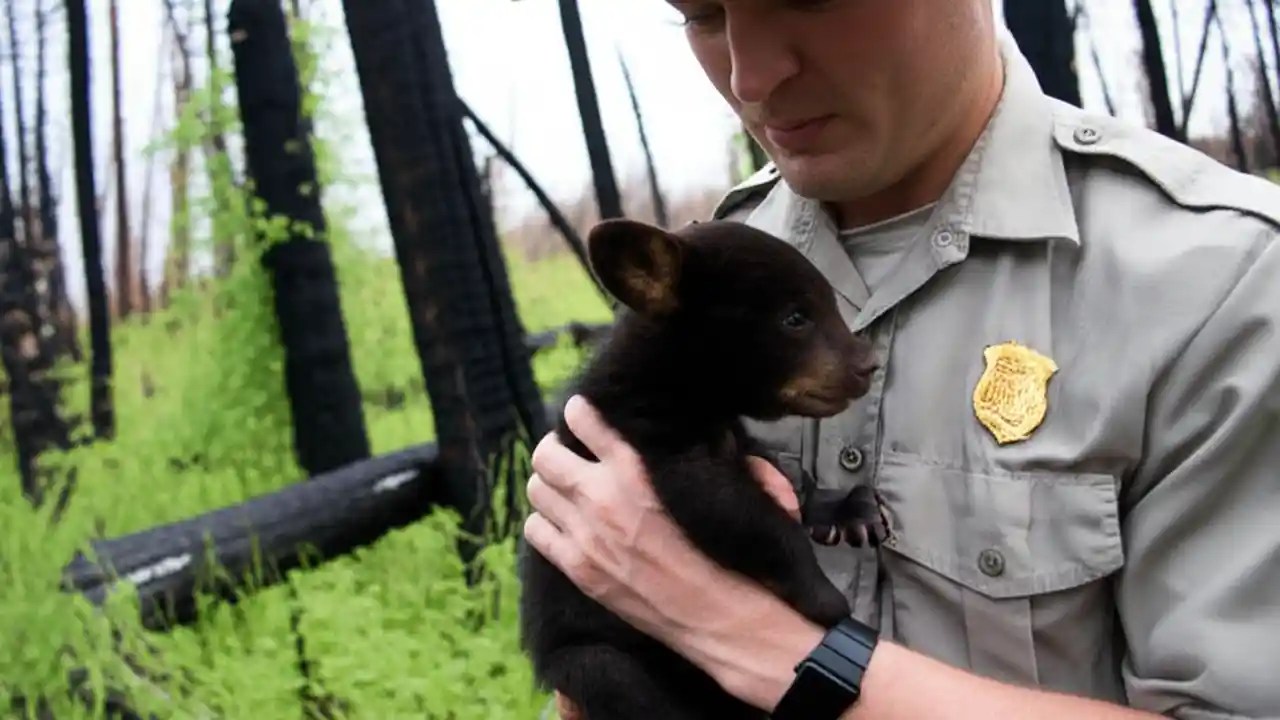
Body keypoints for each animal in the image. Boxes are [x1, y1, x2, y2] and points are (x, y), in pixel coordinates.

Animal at [517, 217, 883, 720]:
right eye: (794, 318)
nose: (868, 365)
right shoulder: (654, 432)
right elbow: (731, 507)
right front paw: (826, 599)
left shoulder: (729, 435)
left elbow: (783, 475)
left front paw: (852, 510)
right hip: (595, 658)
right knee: (622, 682)